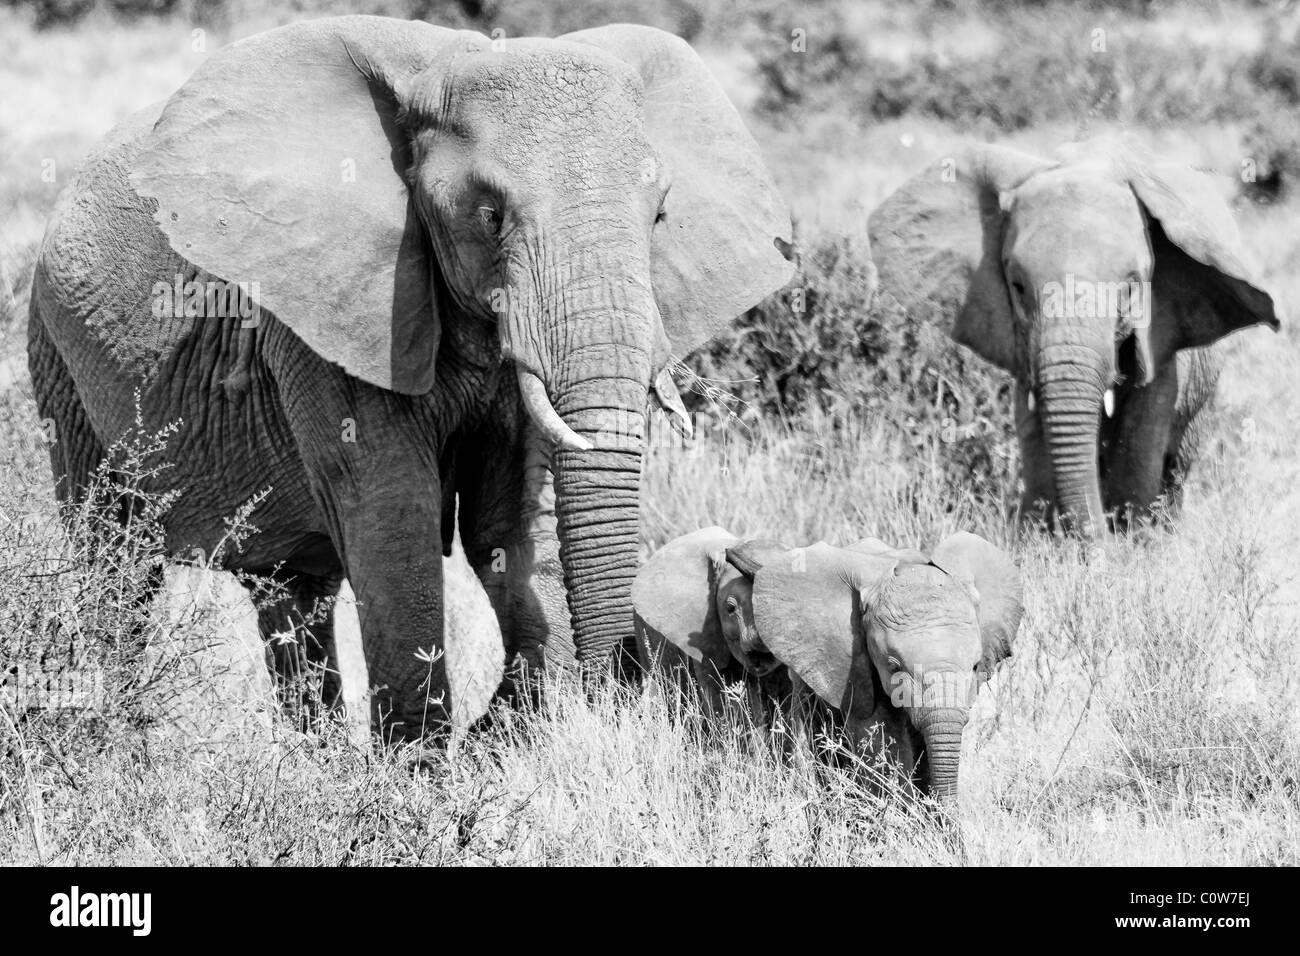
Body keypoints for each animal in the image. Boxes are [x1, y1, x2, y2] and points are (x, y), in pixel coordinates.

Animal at [26, 16, 793, 740]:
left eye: (660, 215)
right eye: (490, 215)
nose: (622, 670)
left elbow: (510, 517)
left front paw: (510, 733)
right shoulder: (339, 311)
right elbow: (393, 510)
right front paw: (424, 773)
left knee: (291, 591)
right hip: (56, 353)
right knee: (114, 560)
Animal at [869, 140, 1281, 536]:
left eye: (1130, 288)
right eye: (1018, 287)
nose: (1099, 541)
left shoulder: (1163, 333)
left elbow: (1140, 439)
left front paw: (1131, 544)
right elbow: (1036, 432)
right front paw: (1040, 542)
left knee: (1178, 463)